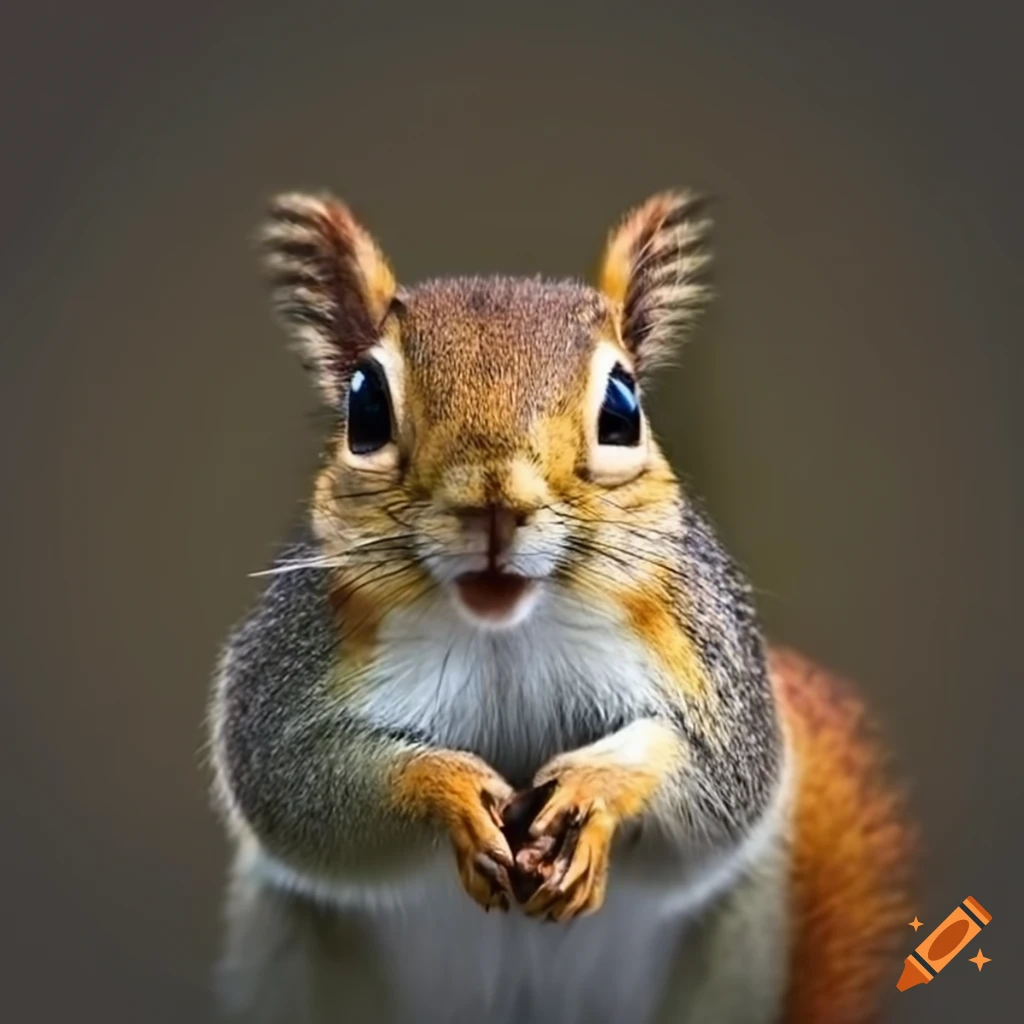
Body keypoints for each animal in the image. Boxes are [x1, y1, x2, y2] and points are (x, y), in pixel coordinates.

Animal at [208, 189, 914, 1024]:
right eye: (365, 407)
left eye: (622, 406)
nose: (493, 502)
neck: (505, 631)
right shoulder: (291, 662)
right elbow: (288, 783)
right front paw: (447, 787)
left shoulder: (710, 654)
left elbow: (722, 779)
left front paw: (599, 789)